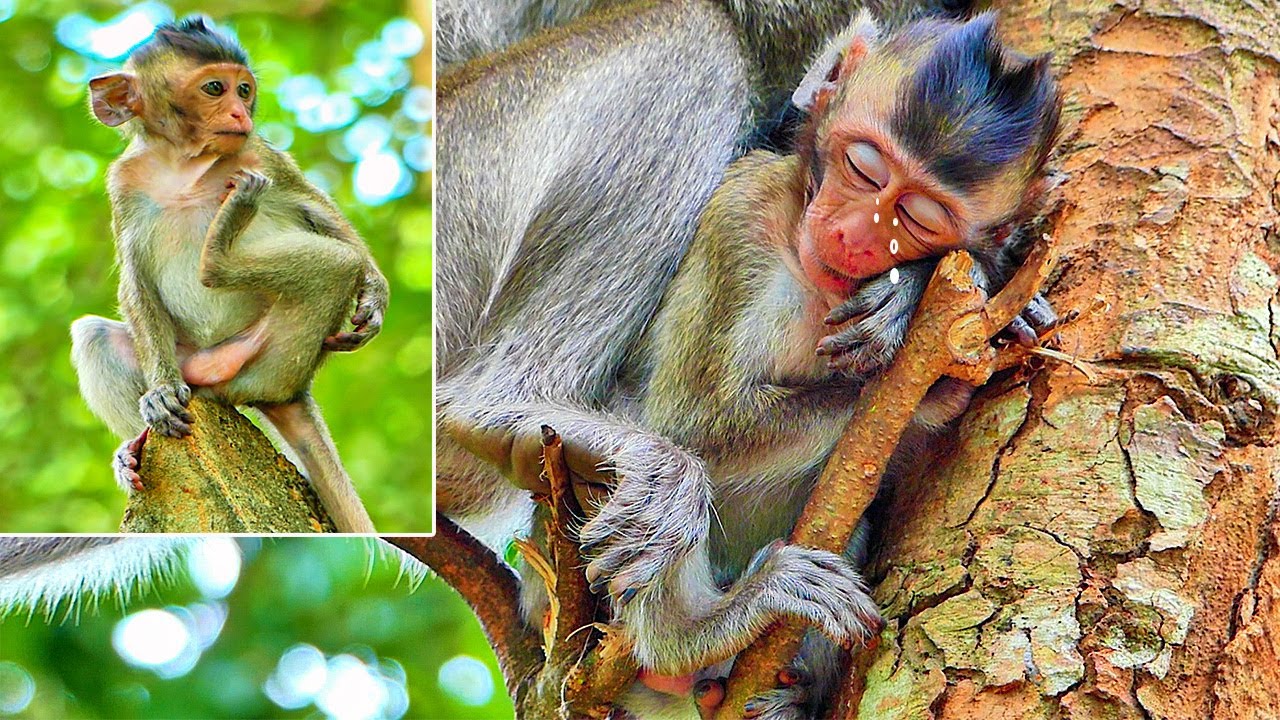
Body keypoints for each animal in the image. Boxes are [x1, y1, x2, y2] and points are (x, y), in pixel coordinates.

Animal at [70, 17, 387, 533]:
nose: (241, 114)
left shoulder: (261, 155)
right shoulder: (124, 183)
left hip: (267, 359)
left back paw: (220, 258)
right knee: (94, 335)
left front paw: (375, 297)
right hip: (192, 368)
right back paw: (131, 450)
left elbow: (318, 210)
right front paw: (160, 393)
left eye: (244, 89)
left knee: (336, 264)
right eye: (215, 88)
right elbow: (135, 279)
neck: (184, 166)